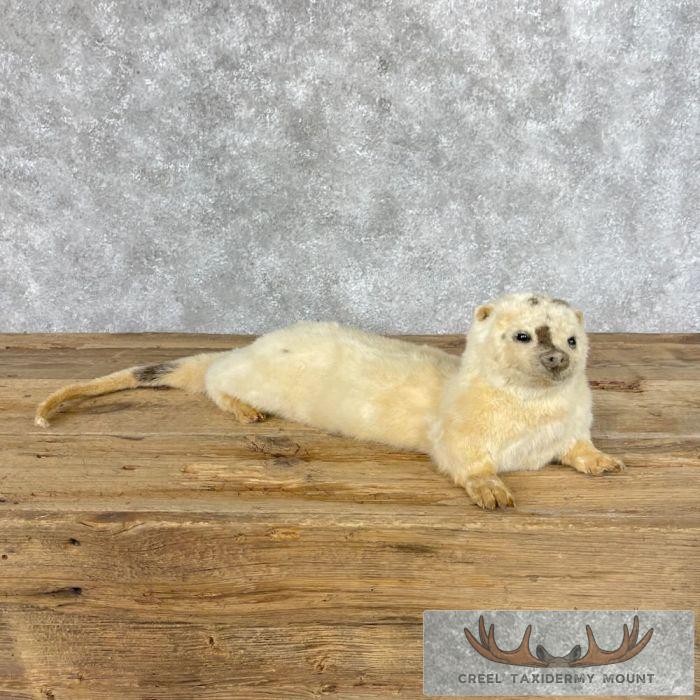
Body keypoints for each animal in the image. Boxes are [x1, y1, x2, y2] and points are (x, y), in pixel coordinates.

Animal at [35, 292, 624, 509]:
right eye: (524, 335)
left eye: (572, 339)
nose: (557, 359)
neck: (532, 427)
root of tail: (250, 346)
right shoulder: (457, 433)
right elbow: (464, 462)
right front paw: (493, 490)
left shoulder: (571, 428)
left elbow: (581, 448)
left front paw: (606, 462)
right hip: (250, 375)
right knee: (216, 379)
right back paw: (245, 409)